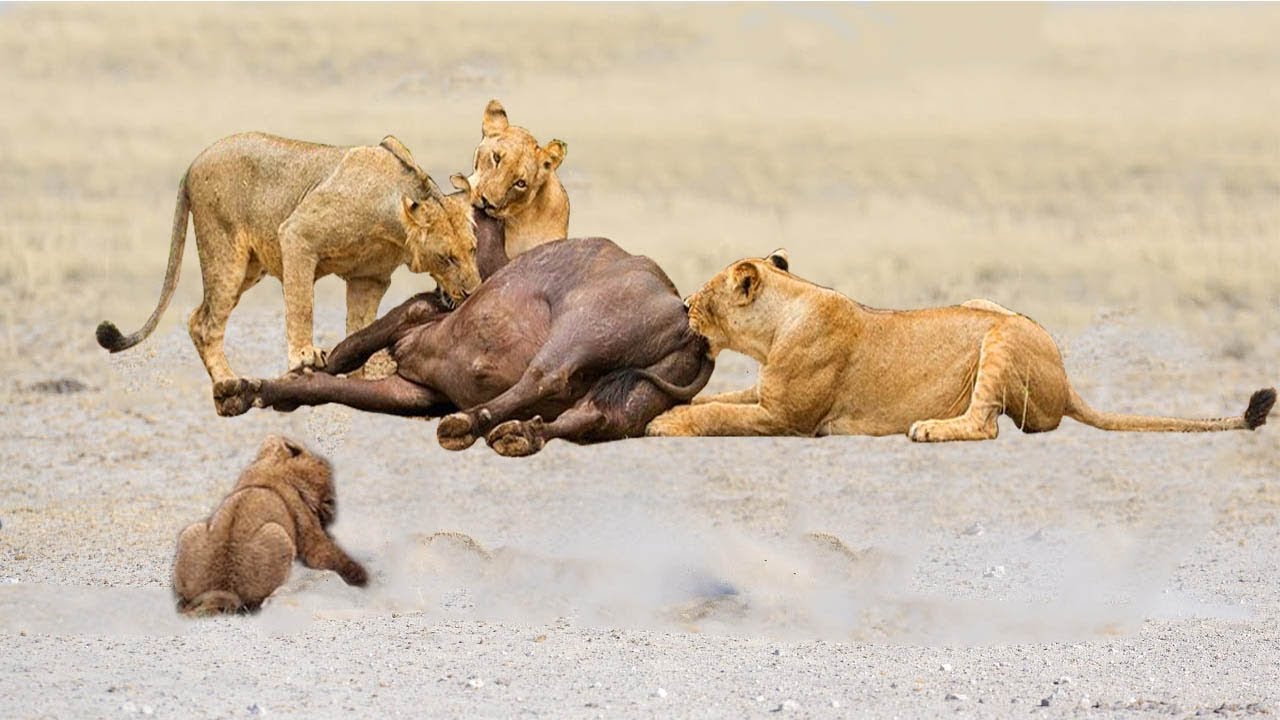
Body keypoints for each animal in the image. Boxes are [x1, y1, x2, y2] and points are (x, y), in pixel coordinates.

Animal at [94, 131, 480, 383]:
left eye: (473, 249)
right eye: (446, 258)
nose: (472, 293)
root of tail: (194, 161)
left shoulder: (369, 278)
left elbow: (361, 326)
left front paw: (357, 372)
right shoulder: (296, 235)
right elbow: (301, 304)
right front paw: (304, 356)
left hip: (249, 267)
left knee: (196, 317)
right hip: (225, 253)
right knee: (206, 324)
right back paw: (228, 383)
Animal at [172, 435, 367, 616]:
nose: (333, 507)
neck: (275, 466)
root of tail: (218, 593)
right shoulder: (306, 524)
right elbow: (327, 554)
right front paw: (362, 577)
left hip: (190, 531)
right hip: (277, 533)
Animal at [647, 251, 1276, 441]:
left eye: (704, 293)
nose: (684, 305)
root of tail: (1068, 380)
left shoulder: (788, 418)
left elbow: (721, 414)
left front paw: (664, 422)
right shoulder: (767, 391)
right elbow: (717, 400)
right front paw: (677, 404)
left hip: (1000, 335)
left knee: (989, 425)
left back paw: (930, 428)